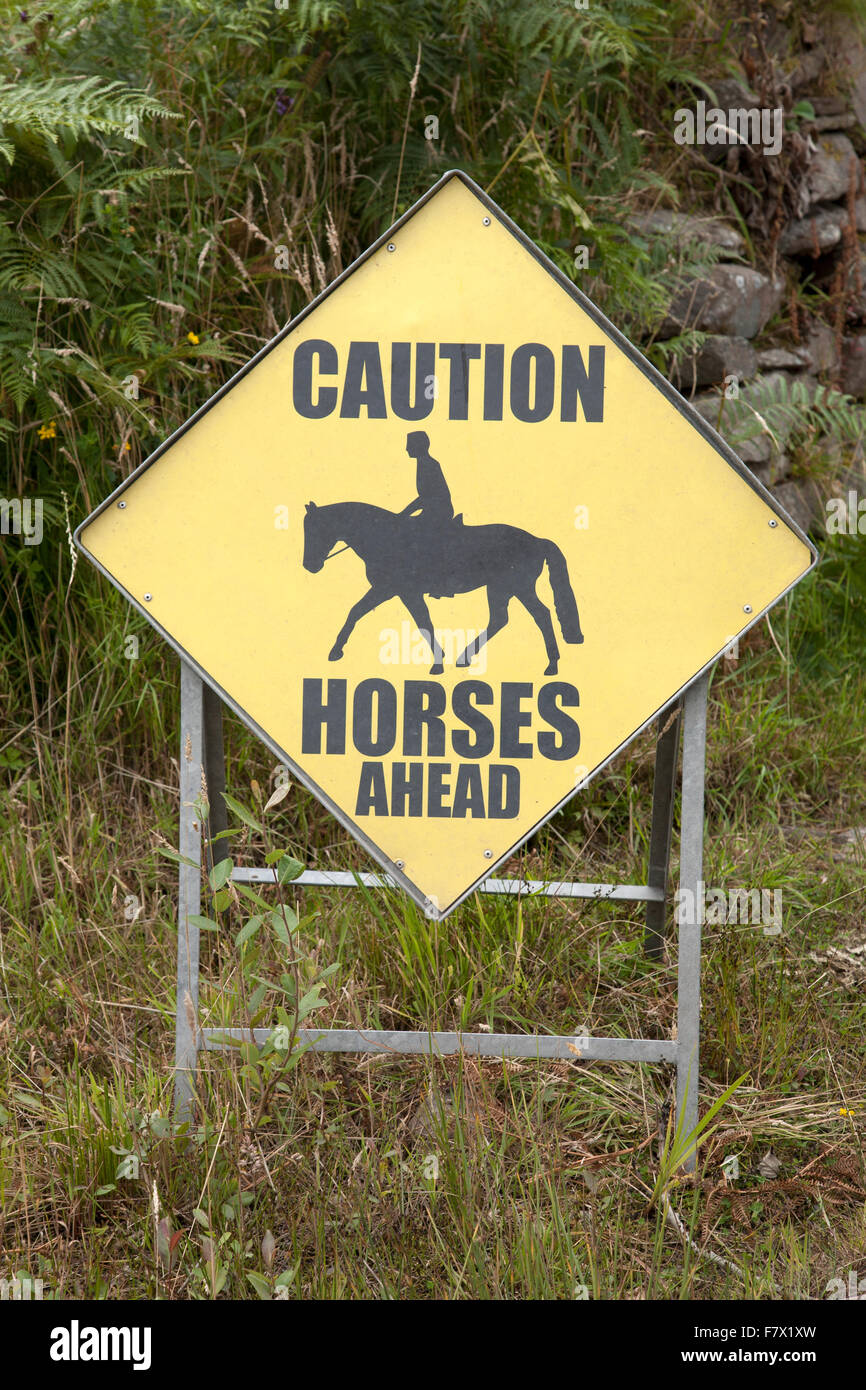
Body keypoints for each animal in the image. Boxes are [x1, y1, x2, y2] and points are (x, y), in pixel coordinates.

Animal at [302, 500, 584, 676]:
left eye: (315, 530)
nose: (309, 566)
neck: (386, 537)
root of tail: (537, 540)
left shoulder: (398, 590)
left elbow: (422, 621)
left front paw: (437, 664)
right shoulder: (389, 590)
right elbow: (357, 611)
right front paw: (336, 651)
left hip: (516, 587)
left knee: (540, 615)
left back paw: (551, 665)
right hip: (501, 588)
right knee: (500, 619)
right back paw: (465, 658)